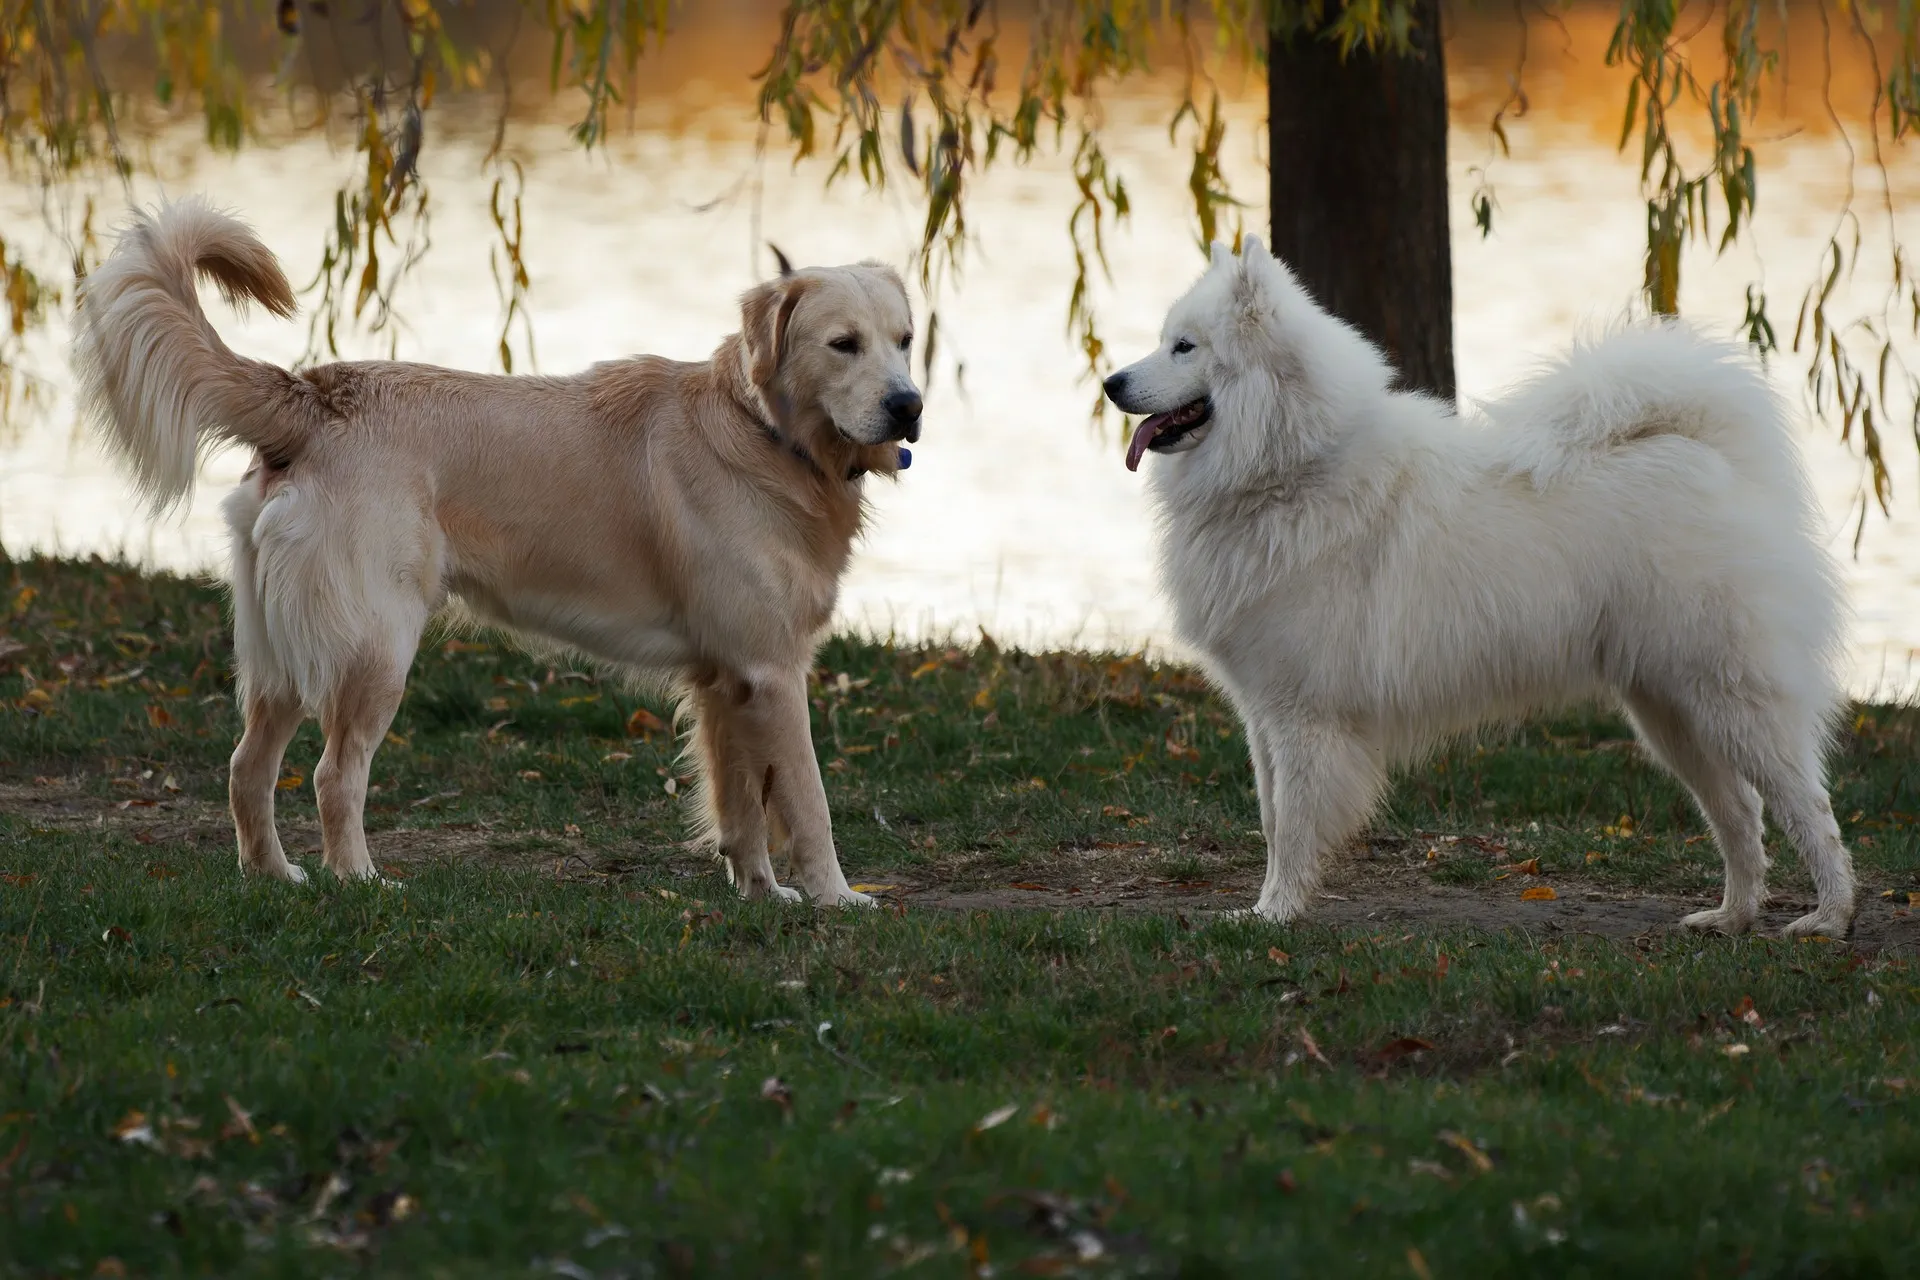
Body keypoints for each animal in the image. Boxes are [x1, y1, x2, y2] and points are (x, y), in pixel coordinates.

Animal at [1113, 239, 1858, 940]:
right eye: (1165, 338)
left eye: (1184, 346)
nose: (1110, 382)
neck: (1291, 469)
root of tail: (1715, 458)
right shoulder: (1265, 714)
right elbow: (1272, 820)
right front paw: (1266, 911)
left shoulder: (1304, 714)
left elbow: (1293, 828)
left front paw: (1275, 915)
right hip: (1670, 710)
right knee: (1740, 814)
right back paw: (1732, 917)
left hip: (1731, 697)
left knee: (1810, 808)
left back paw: (1829, 919)